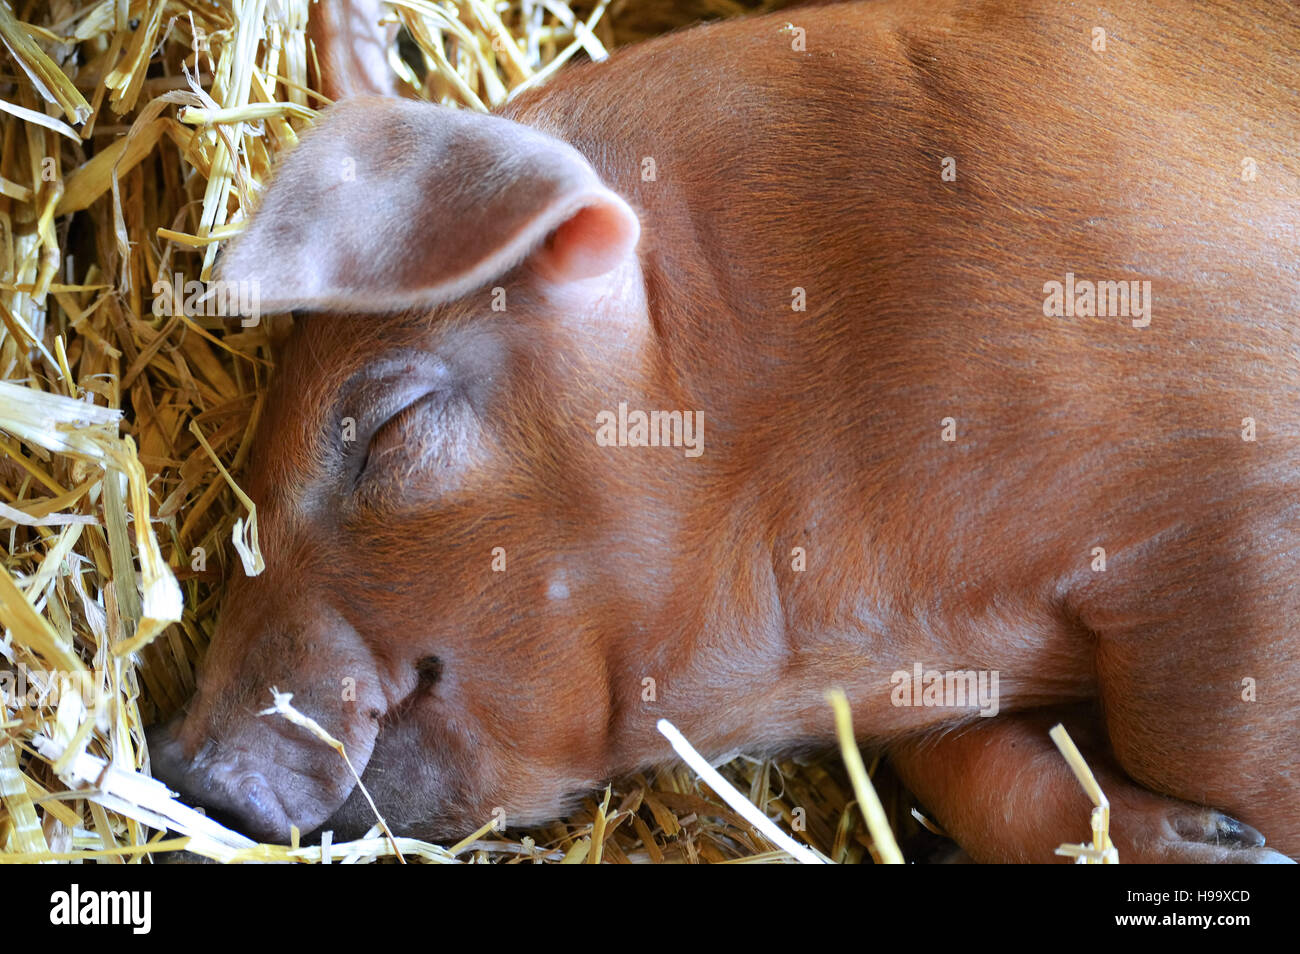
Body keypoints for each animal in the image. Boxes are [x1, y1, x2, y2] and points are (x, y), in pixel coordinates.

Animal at [147, 0, 1300, 863]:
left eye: (390, 424)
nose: (182, 768)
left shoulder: (1231, 512)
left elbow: (1220, 739)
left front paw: (1247, 843)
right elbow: (972, 773)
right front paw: (1217, 842)